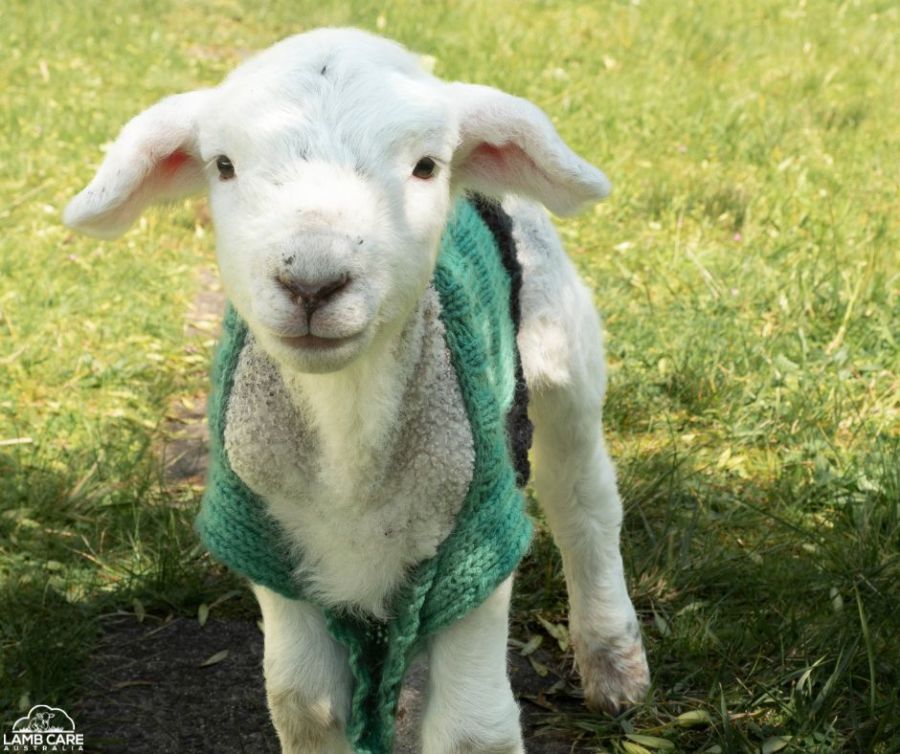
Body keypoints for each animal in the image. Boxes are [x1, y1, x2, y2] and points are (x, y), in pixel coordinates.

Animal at [64, 28, 650, 754]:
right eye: (223, 166)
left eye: (426, 166)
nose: (312, 282)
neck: (347, 436)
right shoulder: (269, 538)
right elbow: (303, 703)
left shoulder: (478, 539)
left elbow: (472, 731)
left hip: (560, 346)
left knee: (583, 499)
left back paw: (614, 660)